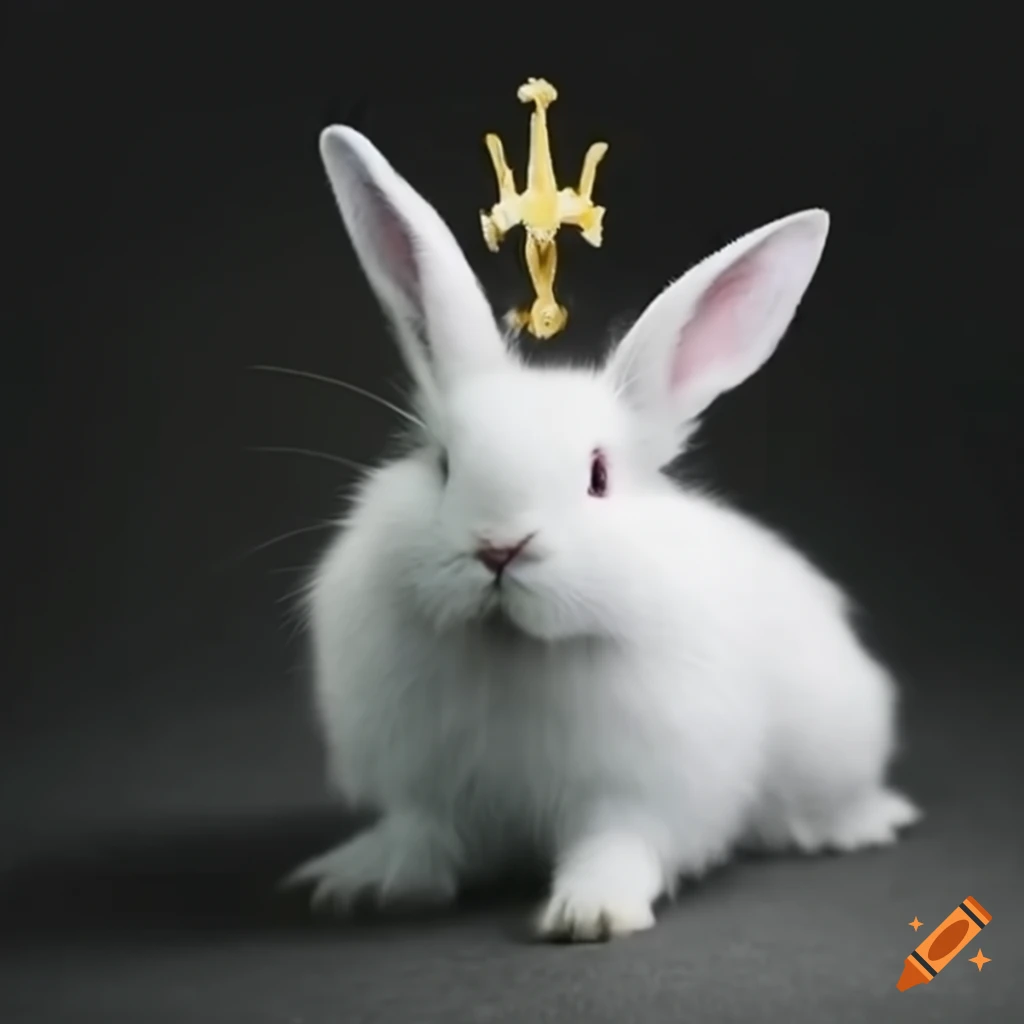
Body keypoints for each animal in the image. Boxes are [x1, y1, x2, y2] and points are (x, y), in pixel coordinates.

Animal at [283, 124, 922, 942]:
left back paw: (861, 824)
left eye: (598, 476)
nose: (499, 548)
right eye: (444, 463)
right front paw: (357, 882)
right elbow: (421, 836)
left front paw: (589, 914)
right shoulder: (430, 793)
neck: (515, 651)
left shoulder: (641, 796)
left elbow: (617, 844)